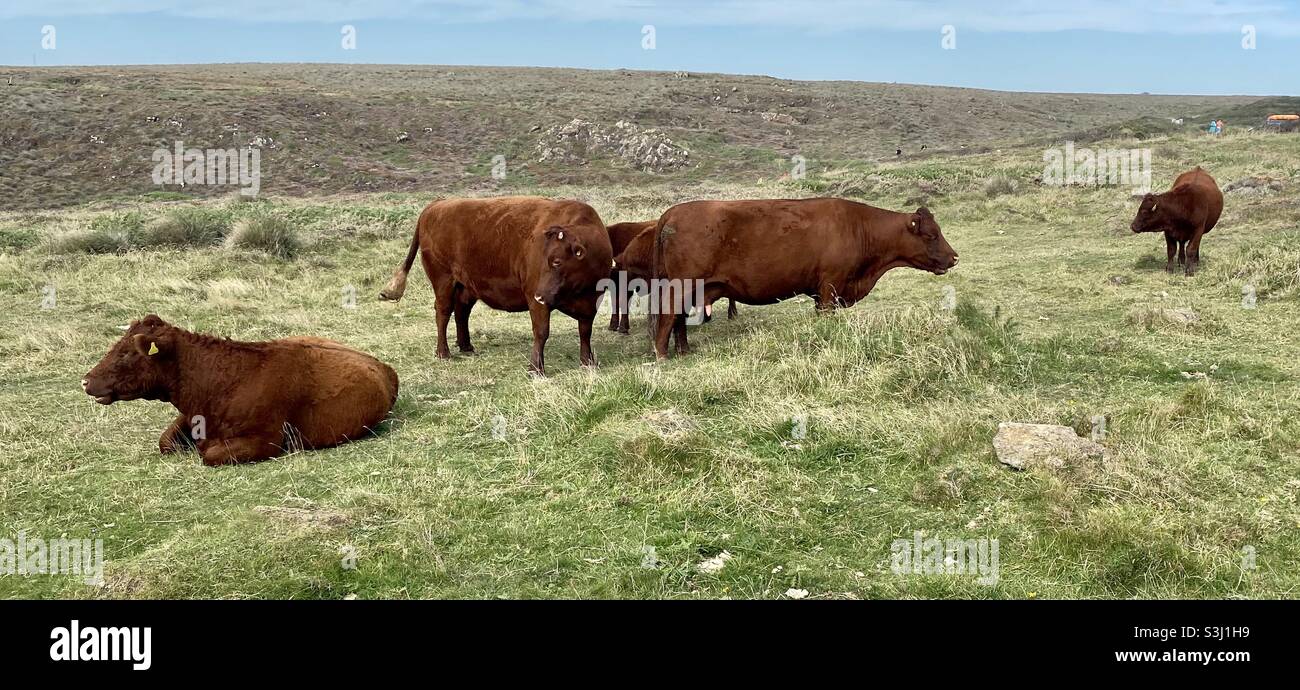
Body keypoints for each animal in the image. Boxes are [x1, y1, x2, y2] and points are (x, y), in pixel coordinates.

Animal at [82, 315, 399, 466]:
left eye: (126, 353)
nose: (85, 380)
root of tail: (381, 365)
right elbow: (166, 441)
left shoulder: (266, 441)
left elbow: (208, 454)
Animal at [379, 196, 613, 375]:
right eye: (546, 260)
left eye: (557, 261)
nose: (540, 295)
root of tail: (437, 205)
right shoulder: (536, 302)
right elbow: (541, 332)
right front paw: (535, 369)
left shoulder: (591, 303)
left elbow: (585, 331)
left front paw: (588, 362)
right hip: (443, 280)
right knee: (443, 312)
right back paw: (443, 352)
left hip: (466, 286)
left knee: (461, 312)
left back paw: (466, 346)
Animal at [648, 198, 958, 360]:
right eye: (931, 235)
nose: (954, 257)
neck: (857, 226)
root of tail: (672, 213)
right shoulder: (829, 287)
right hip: (681, 286)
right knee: (668, 316)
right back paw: (662, 355)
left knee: (678, 320)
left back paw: (684, 351)